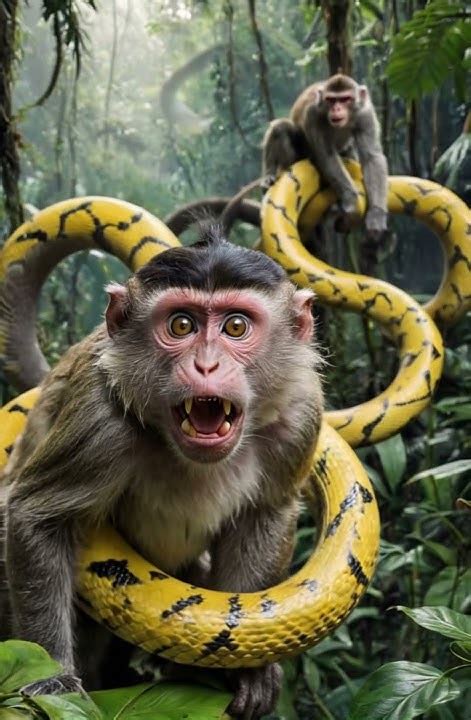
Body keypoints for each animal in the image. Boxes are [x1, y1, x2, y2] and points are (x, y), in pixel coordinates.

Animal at [1, 224, 323, 719]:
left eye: (235, 326)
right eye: (181, 325)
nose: (206, 365)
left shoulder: (301, 416)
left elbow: (266, 513)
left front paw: (247, 669)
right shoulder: (100, 419)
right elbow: (36, 517)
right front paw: (52, 680)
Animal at [262, 73, 389, 238]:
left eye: (345, 99)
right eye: (331, 100)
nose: (336, 108)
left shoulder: (365, 114)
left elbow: (371, 157)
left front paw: (376, 215)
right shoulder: (313, 115)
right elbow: (325, 155)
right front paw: (351, 201)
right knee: (280, 128)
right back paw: (270, 175)